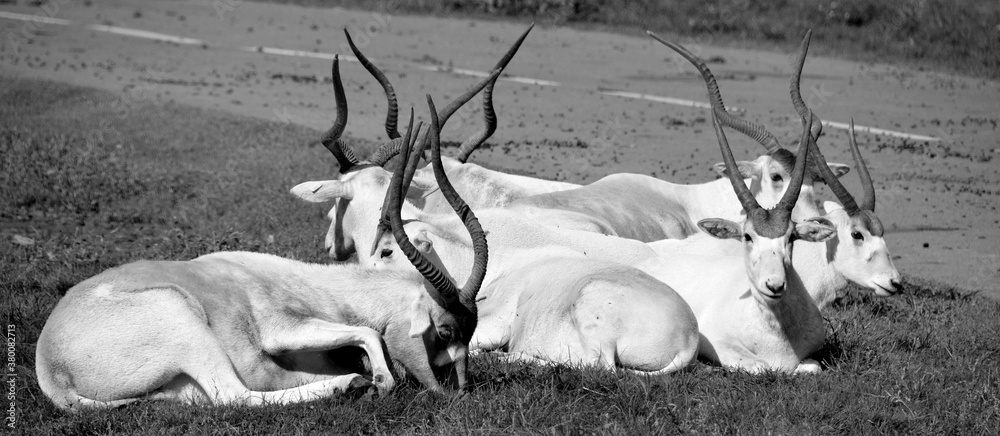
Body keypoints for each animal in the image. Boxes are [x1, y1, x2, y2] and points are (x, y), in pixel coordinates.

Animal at [34, 116, 488, 410]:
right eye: (445, 331)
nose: (459, 391)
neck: (316, 284)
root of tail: (50, 366)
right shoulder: (281, 328)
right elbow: (370, 336)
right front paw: (376, 380)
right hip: (182, 320)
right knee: (232, 396)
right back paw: (347, 385)